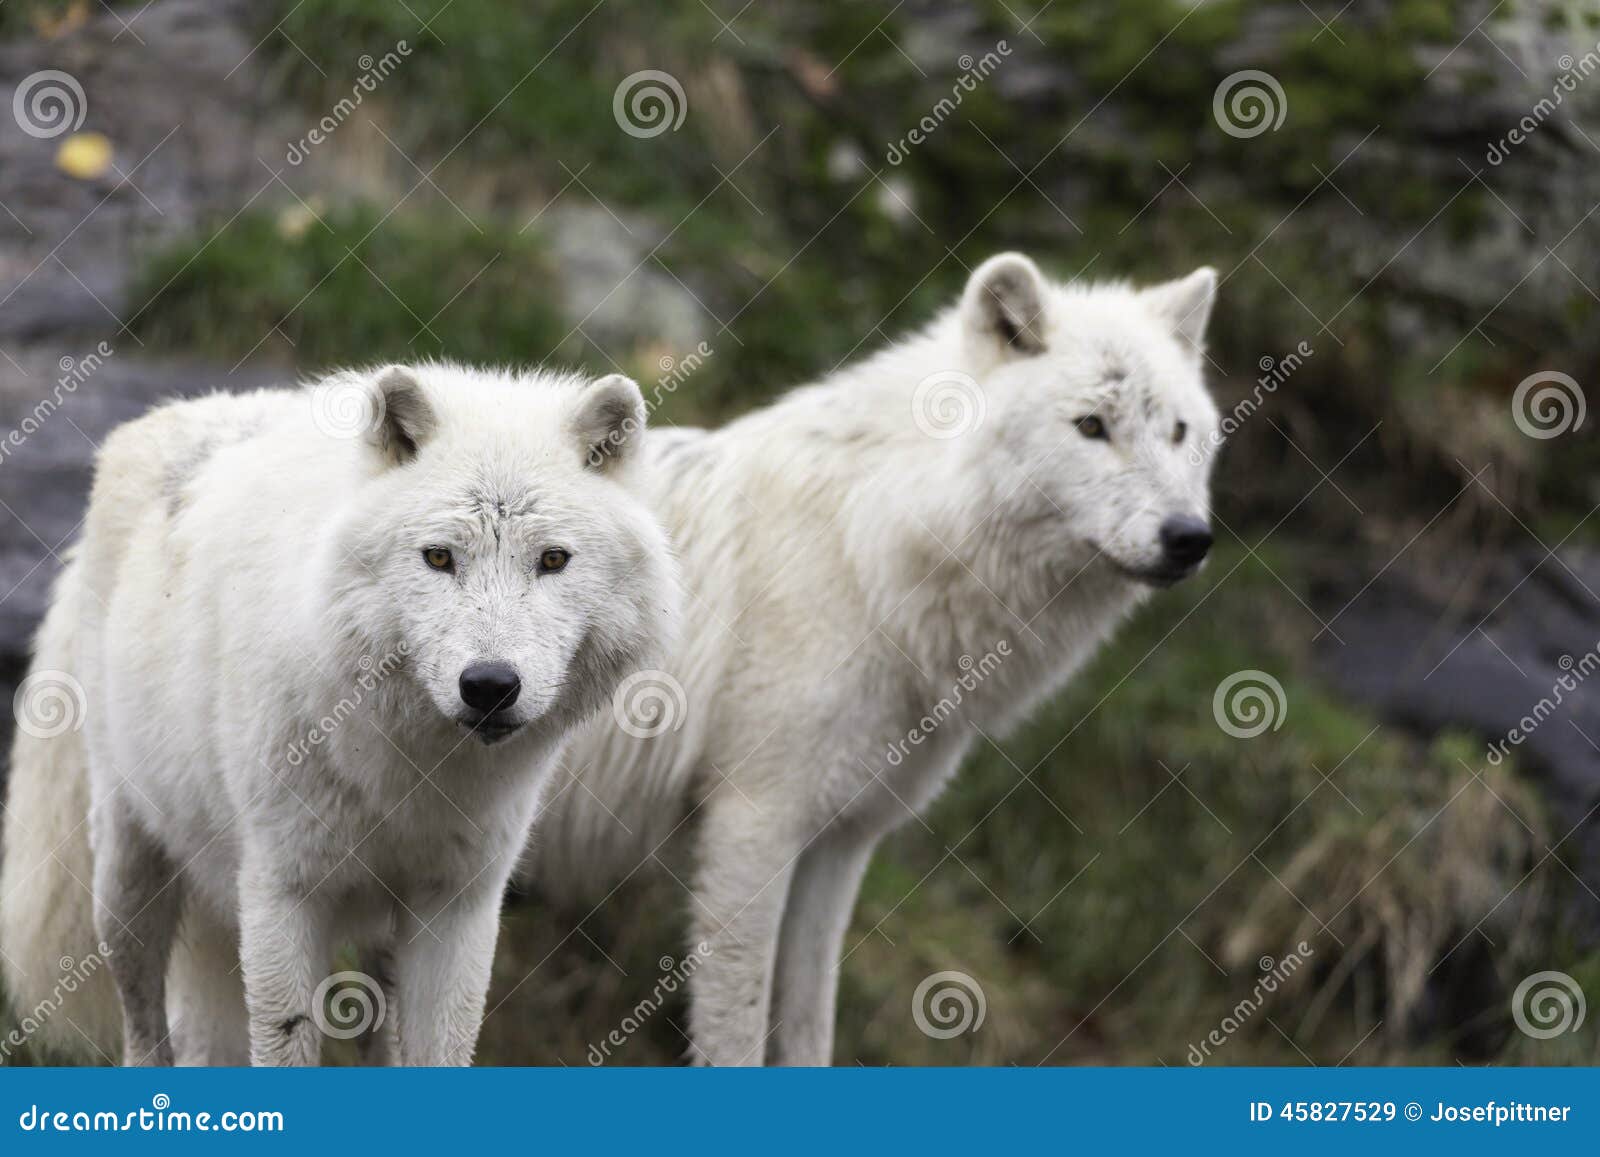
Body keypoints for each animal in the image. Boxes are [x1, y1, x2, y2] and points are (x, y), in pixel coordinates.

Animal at [0, 363, 679, 1065]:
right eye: (439, 557)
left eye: (552, 560)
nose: (489, 685)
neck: (413, 769)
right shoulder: (283, 893)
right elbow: (286, 1041)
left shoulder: (458, 903)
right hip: (127, 881)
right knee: (142, 1030)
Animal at [527, 253, 1221, 1065]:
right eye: (1091, 426)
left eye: (1178, 431)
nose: (1188, 537)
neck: (871, 553)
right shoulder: (753, 824)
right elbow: (738, 1028)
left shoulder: (839, 842)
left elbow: (807, 1026)